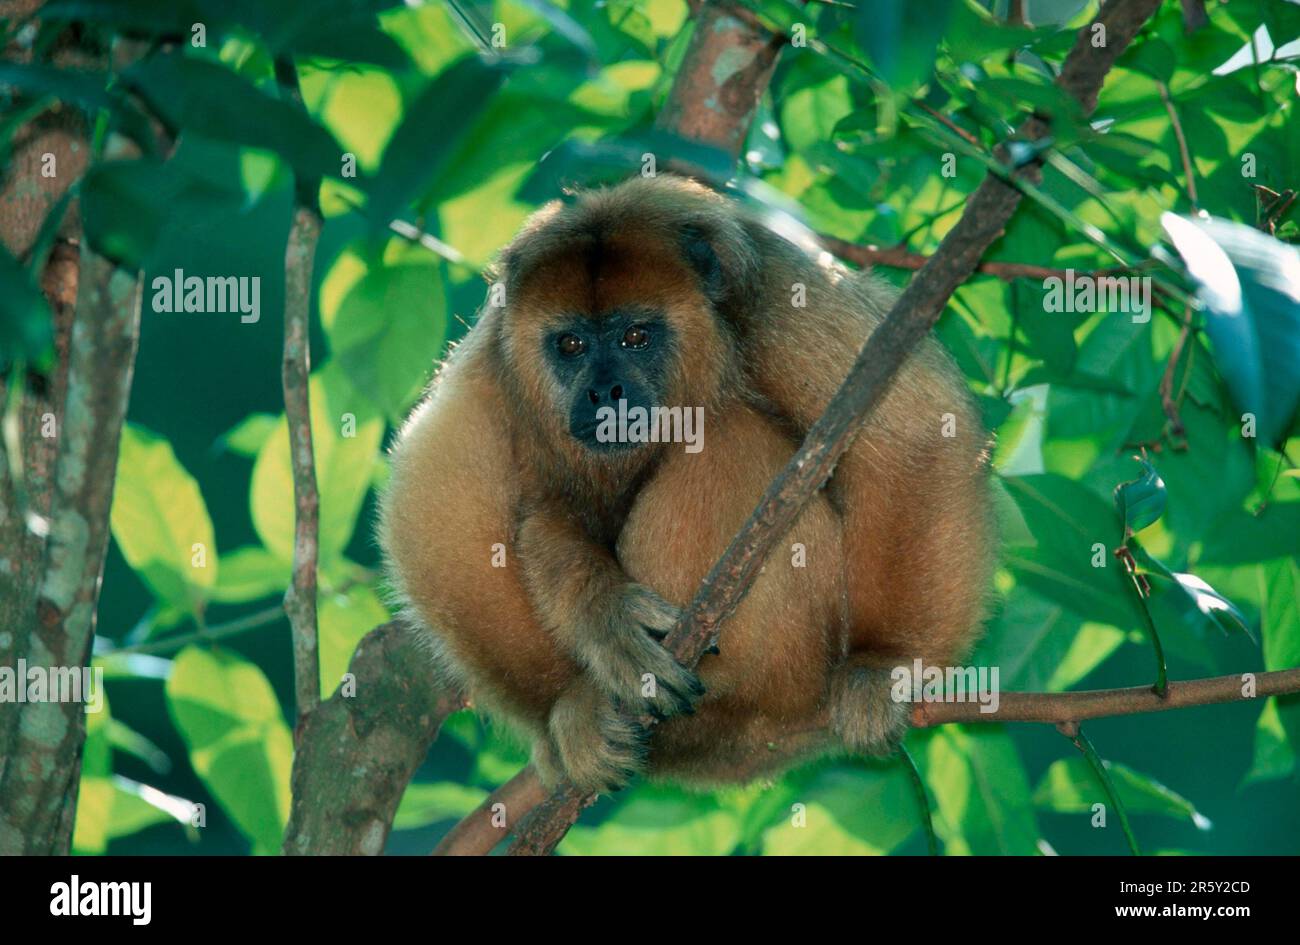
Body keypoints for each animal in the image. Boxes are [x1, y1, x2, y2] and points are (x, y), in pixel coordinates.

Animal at [377, 174, 995, 793]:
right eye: (571, 345)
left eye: (636, 336)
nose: (604, 393)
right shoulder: (492, 355)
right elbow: (441, 489)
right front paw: (591, 649)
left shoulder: (778, 294)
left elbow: (915, 429)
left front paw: (885, 662)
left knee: (725, 438)